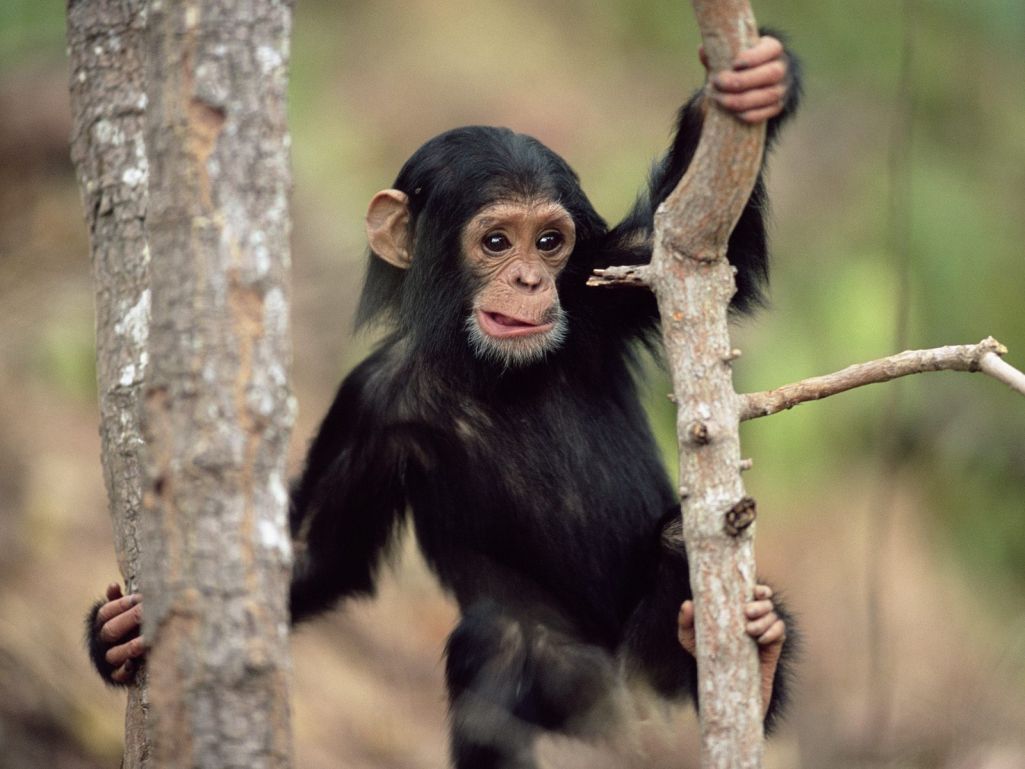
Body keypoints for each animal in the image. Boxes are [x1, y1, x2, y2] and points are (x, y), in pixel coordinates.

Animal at [90, 33, 799, 766]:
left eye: (550, 241)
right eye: (496, 241)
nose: (528, 278)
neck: (486, 370)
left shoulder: (603, 285)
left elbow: (704, 247)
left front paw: (755, 83)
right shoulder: (369, 404)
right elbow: (317, 556)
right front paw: (116, 632)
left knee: (677, 548)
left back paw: (757, 653)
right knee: (496, 640)